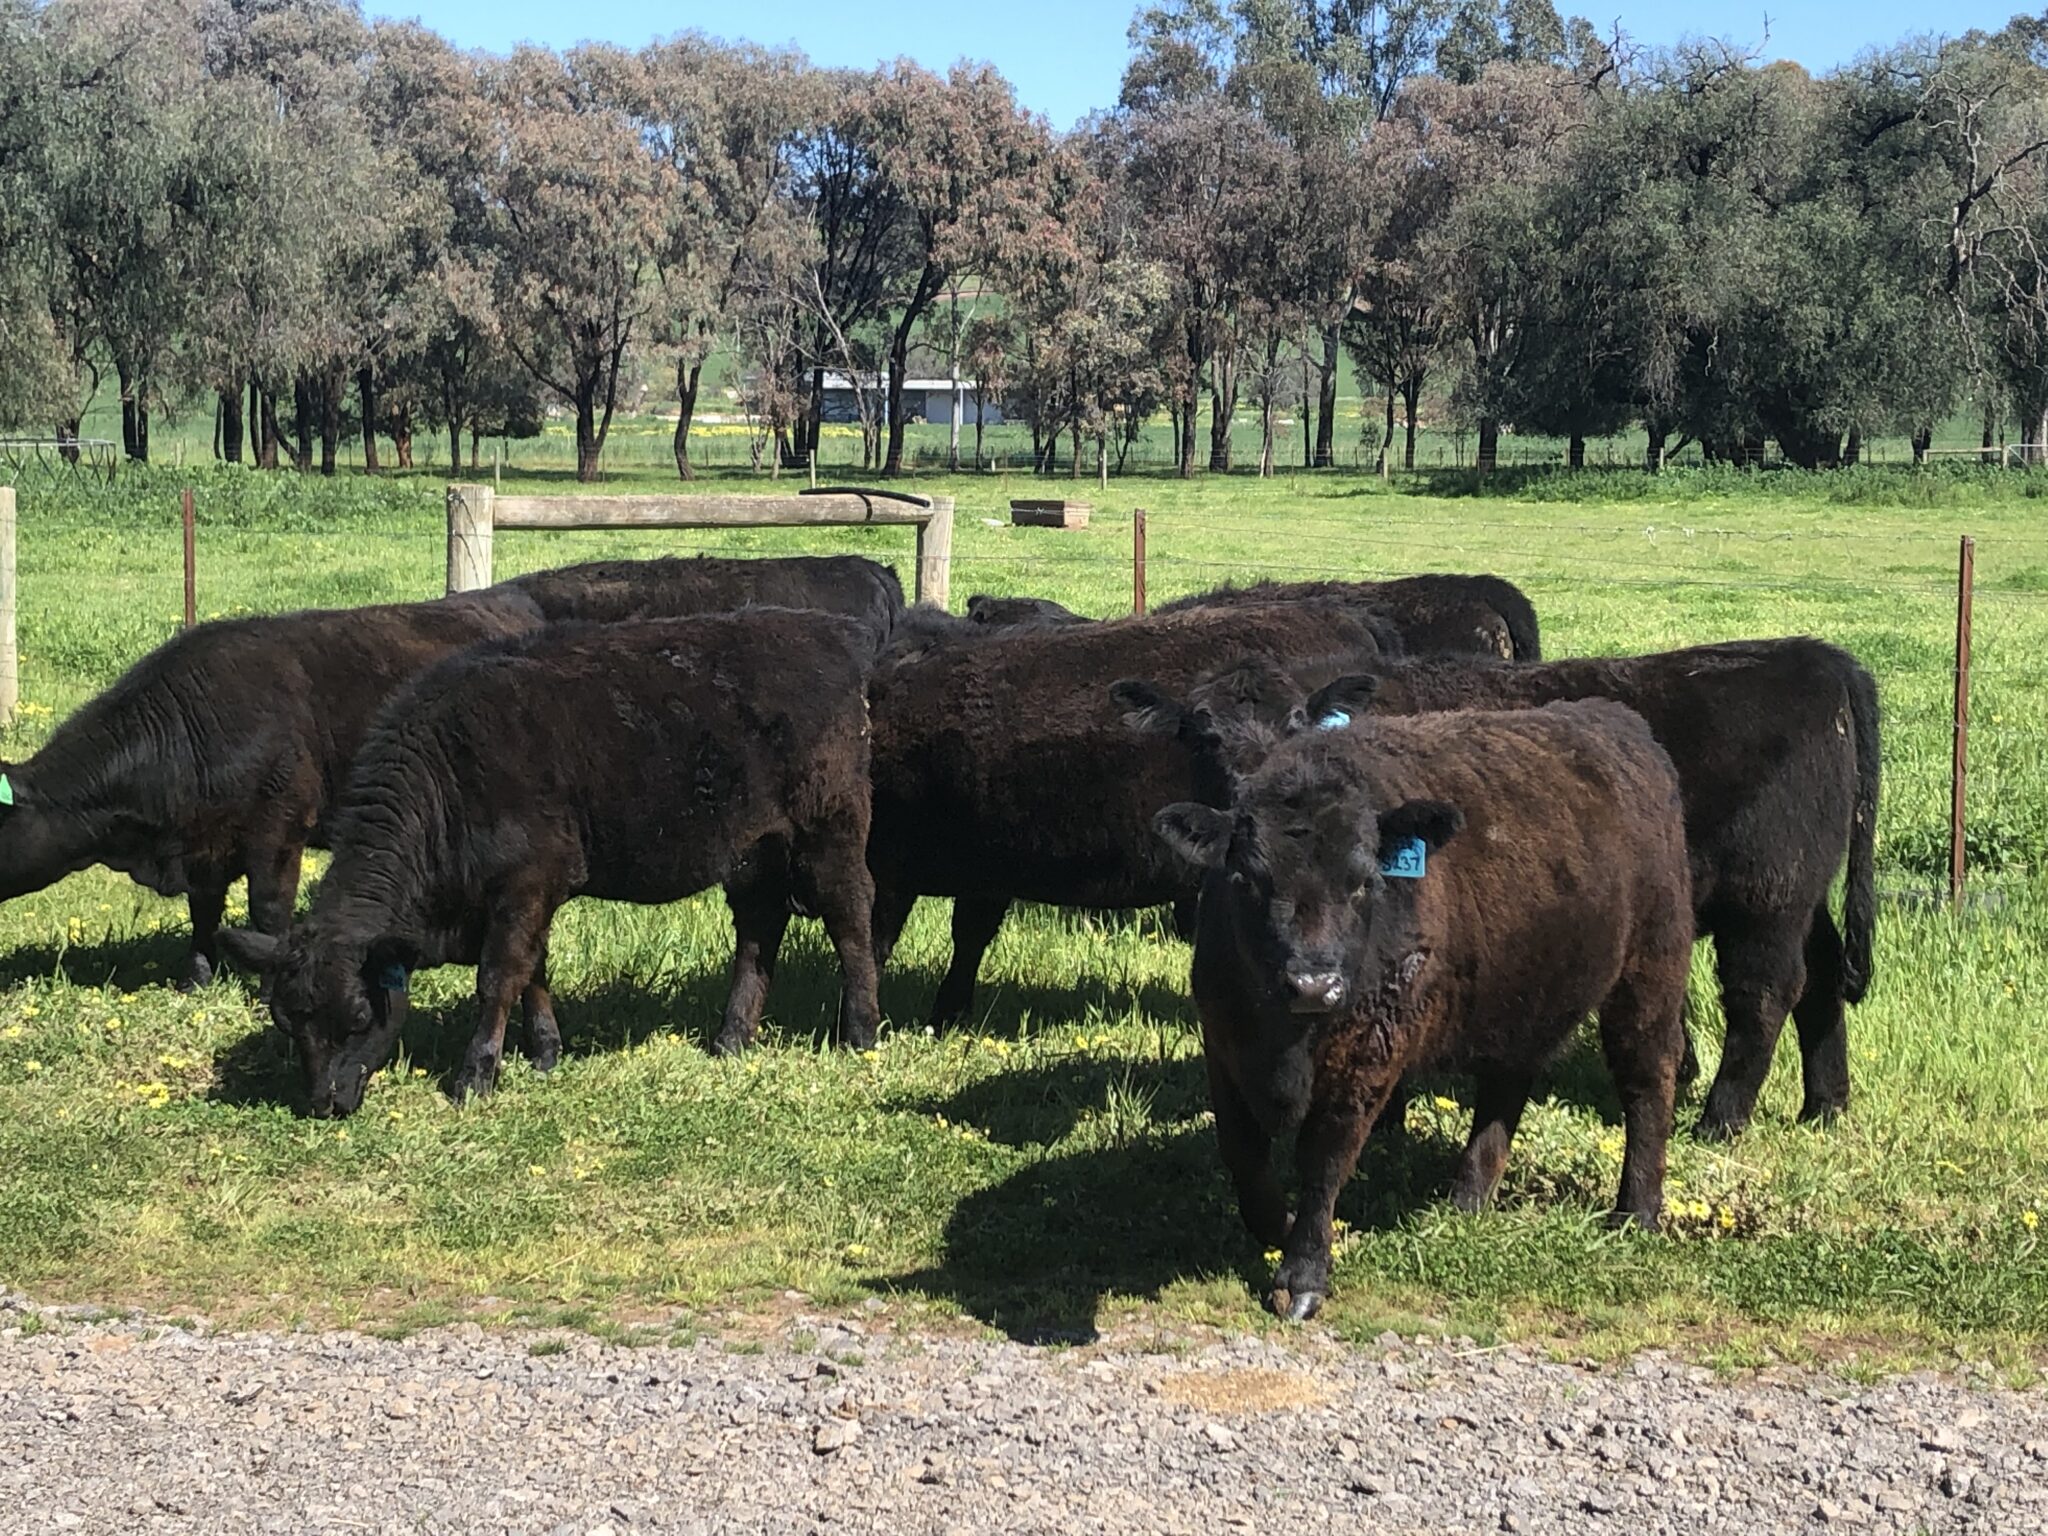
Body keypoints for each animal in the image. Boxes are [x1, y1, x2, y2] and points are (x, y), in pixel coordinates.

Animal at [218, 610, 883, 1117]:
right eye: (286, 1021)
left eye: (359, 1016)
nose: (324, 1103)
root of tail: (825, 630)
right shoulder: (522, 897)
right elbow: (534, 971)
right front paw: (544, 1053)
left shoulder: (525, 884)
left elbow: (499, 977)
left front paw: (475, 1076)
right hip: (754, 853)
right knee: (758, 933)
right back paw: (731, 1038)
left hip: (830, 829)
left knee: (851, 921)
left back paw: (861, 1032)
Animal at [1134, 686, 1693, 1320]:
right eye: (1246, 878)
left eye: (1363, 880)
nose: (1314, 985)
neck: (1286, 1043)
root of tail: (1616, 721)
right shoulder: (1223, 1043)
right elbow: (1243, 1152)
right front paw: (1277, 1225)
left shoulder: (1372, 1052)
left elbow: (1323, 1159)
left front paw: (1302, 1275)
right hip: (1523, 990)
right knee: (1504, 1088)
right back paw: (1466, 1201)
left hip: (1651, 969)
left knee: (1647, 1081)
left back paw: (1636, 1212)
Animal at [1180, 639, 1878, 1139]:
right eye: (1204, 734)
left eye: (1298, 720)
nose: (1254, 795)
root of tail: (1817, 657)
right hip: (1805, 897)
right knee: (1821, 977)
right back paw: (1825, 1105)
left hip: (1768, 899)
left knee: (1765, 994)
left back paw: (1720, 1120)